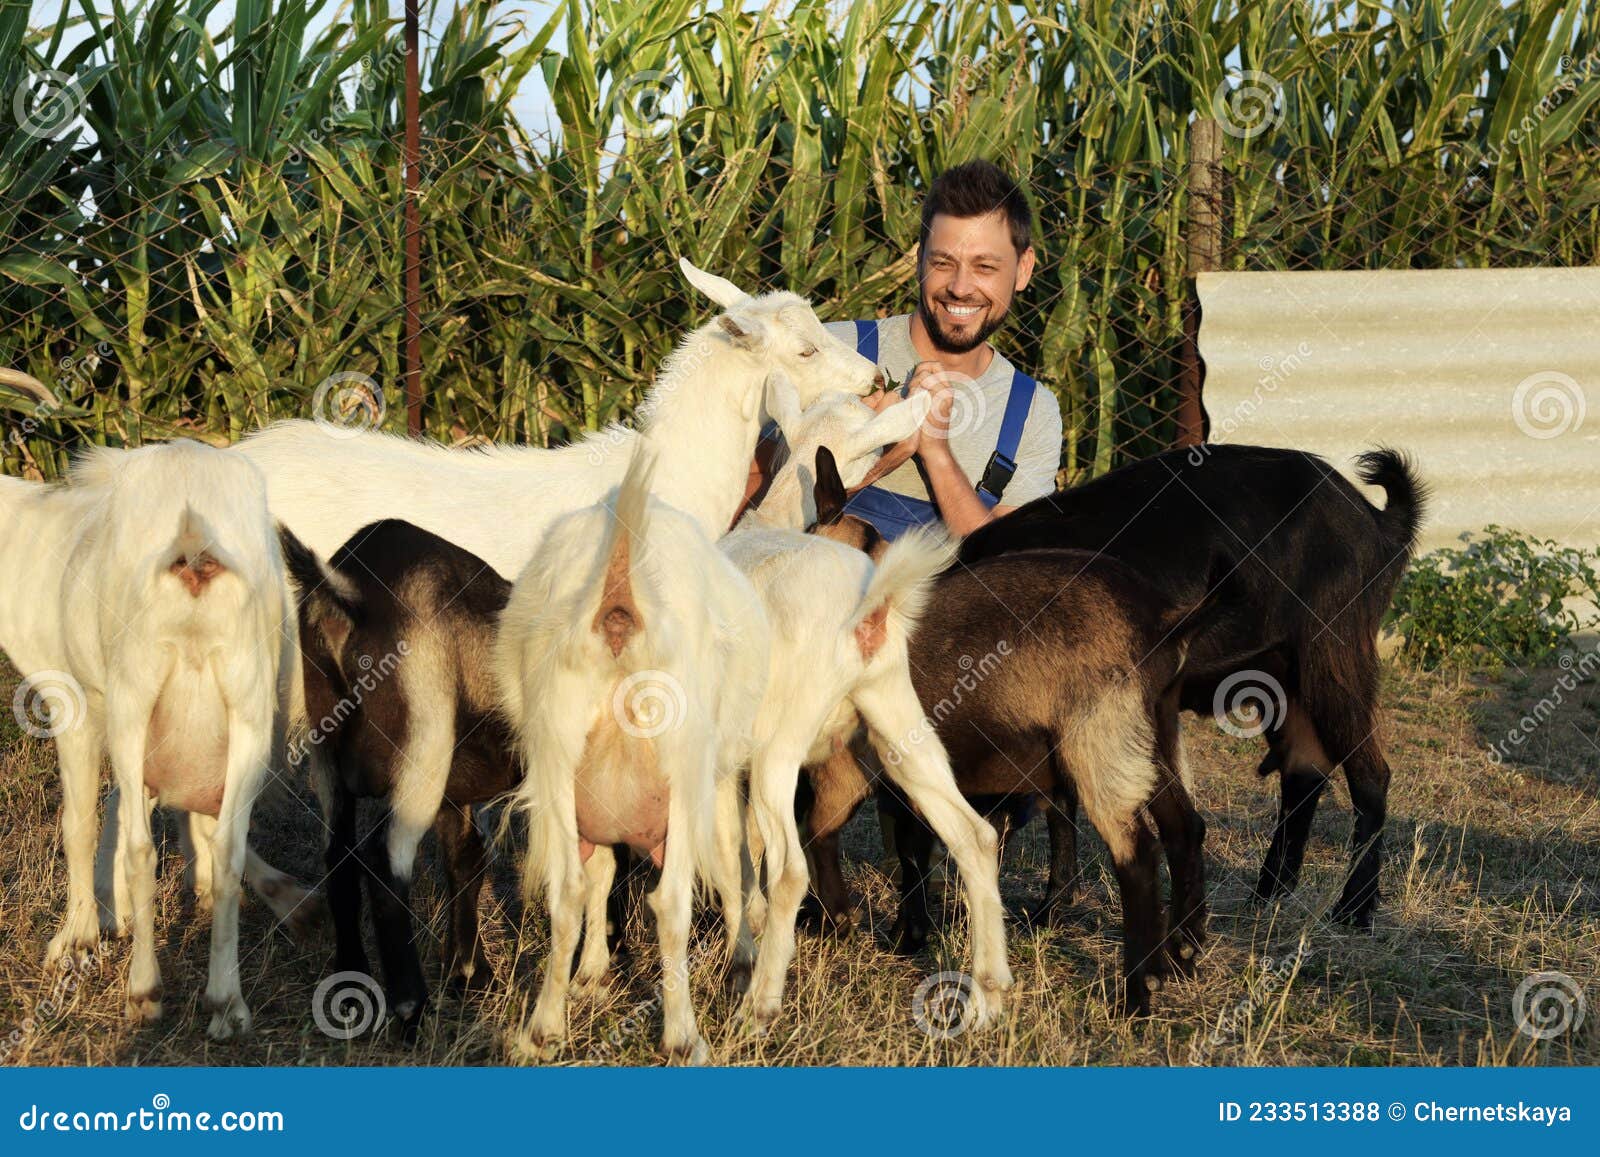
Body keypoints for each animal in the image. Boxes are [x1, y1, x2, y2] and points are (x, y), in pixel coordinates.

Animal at [0, 439, 294, 1038]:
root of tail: (191, 530)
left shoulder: (73, 704)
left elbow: (81, 825)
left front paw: (77, 939)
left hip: (133, 700)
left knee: (139, 848)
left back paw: (144, 993)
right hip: (249, 701)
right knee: (227, 849)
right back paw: (226, 1003)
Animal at [496, 441, 769, 1064]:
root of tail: (619, 598)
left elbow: (598, 876)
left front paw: (592, 974)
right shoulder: (712, 780)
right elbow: (732, 860)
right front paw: (741, 963)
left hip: (557, 749)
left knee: (568, 892)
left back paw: (542, 1032)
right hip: (683, 763)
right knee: (670, 902)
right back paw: (683, 1037)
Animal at [802, 447, 1212, 1014]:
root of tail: (1161, 619)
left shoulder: (853, 764)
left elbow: (824, 832)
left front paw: (840, 925)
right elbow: (911, 850)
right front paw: (908, 936)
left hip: (1098, 744)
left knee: (1137, 855)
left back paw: (1137, 994)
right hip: (1153, 737)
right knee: (1183, 826)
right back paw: (1182, 957)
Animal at [957, 444, 1426, 928]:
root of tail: (1373, 520)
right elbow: (1060, 801)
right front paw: (1053, 905)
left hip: (1334, 656)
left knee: (1369, 773)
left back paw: (1354, 907)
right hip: (1278, 676)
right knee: (1304, 771)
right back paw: (1268, 893)